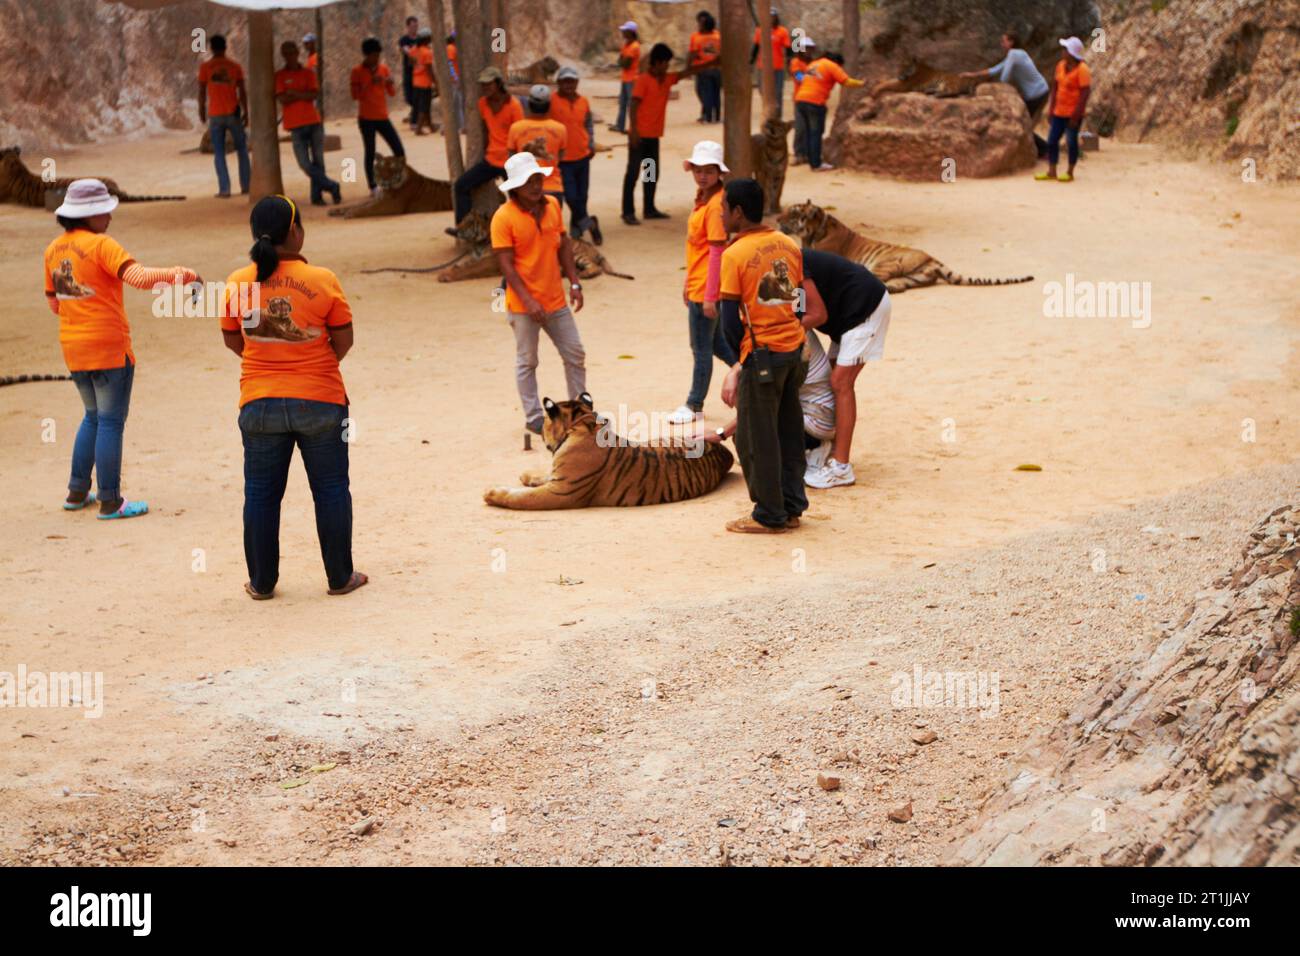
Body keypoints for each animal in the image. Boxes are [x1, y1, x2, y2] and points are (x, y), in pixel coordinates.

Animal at [362, 208, 635, 283]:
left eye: (468, 220)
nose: (454, 228)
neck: (479, 241)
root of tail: (595, 249)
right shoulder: (473, 256)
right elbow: (461, 264)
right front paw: (446, 270)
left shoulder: (489, 261)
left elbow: (467, 269)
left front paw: (447, 276)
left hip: (576, 253)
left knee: (594, 269)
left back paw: (581, 274)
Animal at [484, 394, 734, 510]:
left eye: (545, 420)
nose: (540, 430)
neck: (582, 422)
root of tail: (726, 453)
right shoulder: (558, 478)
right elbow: (541, 476)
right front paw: (527, 475)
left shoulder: (561, 491)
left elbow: (521, 497)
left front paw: (491, 493)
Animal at [777, 200, 1033, 293]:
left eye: (793, 212)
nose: (777, 218)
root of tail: (931, 258)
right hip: (912, 277)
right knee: (899, 286)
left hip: (884, 264)